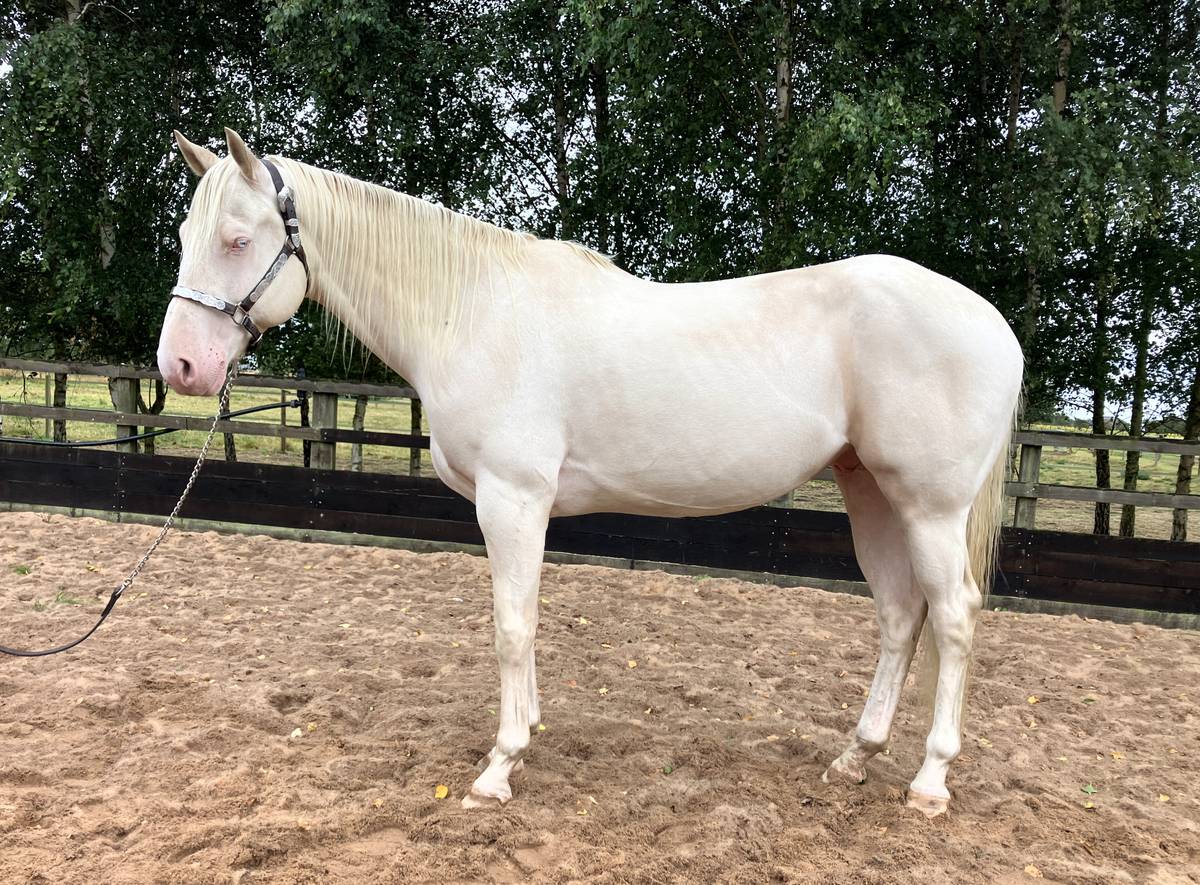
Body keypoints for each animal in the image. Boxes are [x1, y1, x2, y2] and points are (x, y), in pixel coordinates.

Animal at [157, 128, 1024, 817]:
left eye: (236, 239)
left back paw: (930, 782)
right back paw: (854, 756)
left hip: (930, 506)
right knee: (900, 616)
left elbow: (510, 625)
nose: (182, 366)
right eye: (185, 232)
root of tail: (995, 326)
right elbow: (528, 620)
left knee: (952, 616)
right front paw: (529, 730)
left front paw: (499, 767)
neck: (472, 311)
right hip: (869, 490)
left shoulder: (512, 500)